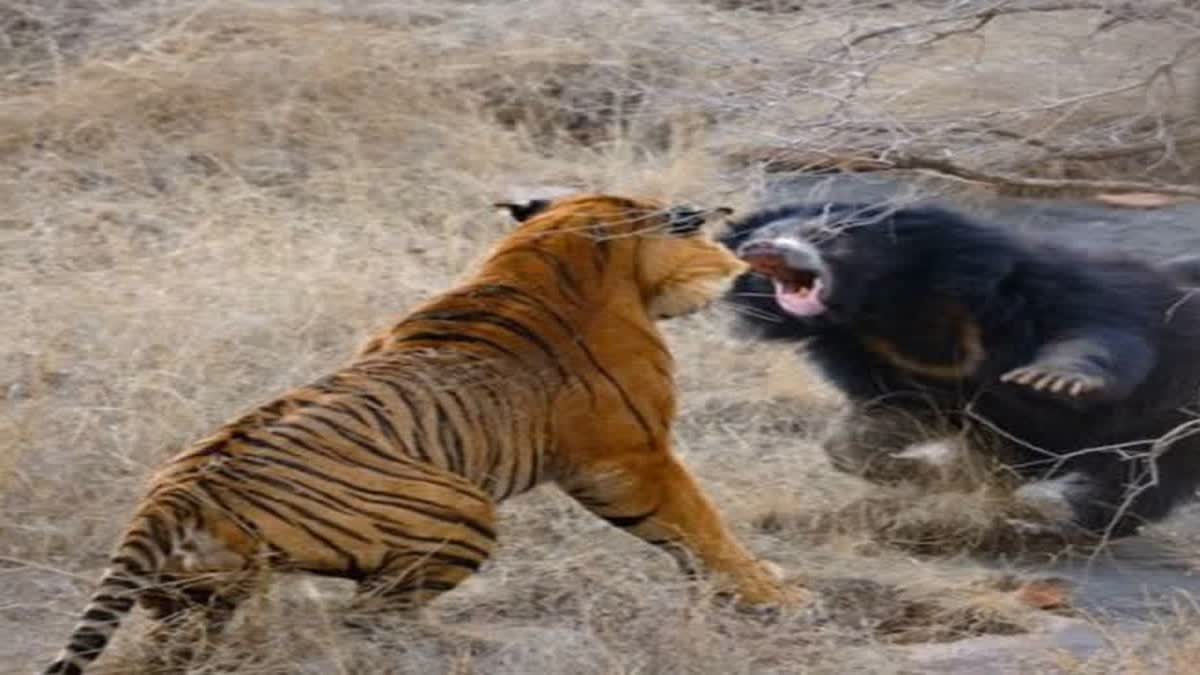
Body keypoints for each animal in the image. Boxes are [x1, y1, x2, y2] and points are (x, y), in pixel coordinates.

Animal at [45, 193, 808, 675]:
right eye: (704, 236)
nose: (741, 257)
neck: (548, 247)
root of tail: (176, 489)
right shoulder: (630, 457)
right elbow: (700, 524)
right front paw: (774, 593)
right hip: (464, 509)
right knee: (367, 617)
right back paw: (463, 638)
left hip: (190, 594)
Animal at [719, 201, 1200, 539]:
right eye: (760, 238)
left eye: (822, 234)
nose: (760, 248)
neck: (881, 305)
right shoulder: (882, 358)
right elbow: (883, 420)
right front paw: (923, 473)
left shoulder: (1037, 286)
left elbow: (1097, 330)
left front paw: (1052, 379)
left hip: (1169, 425)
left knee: (1138, 484)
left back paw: (1056, 518)